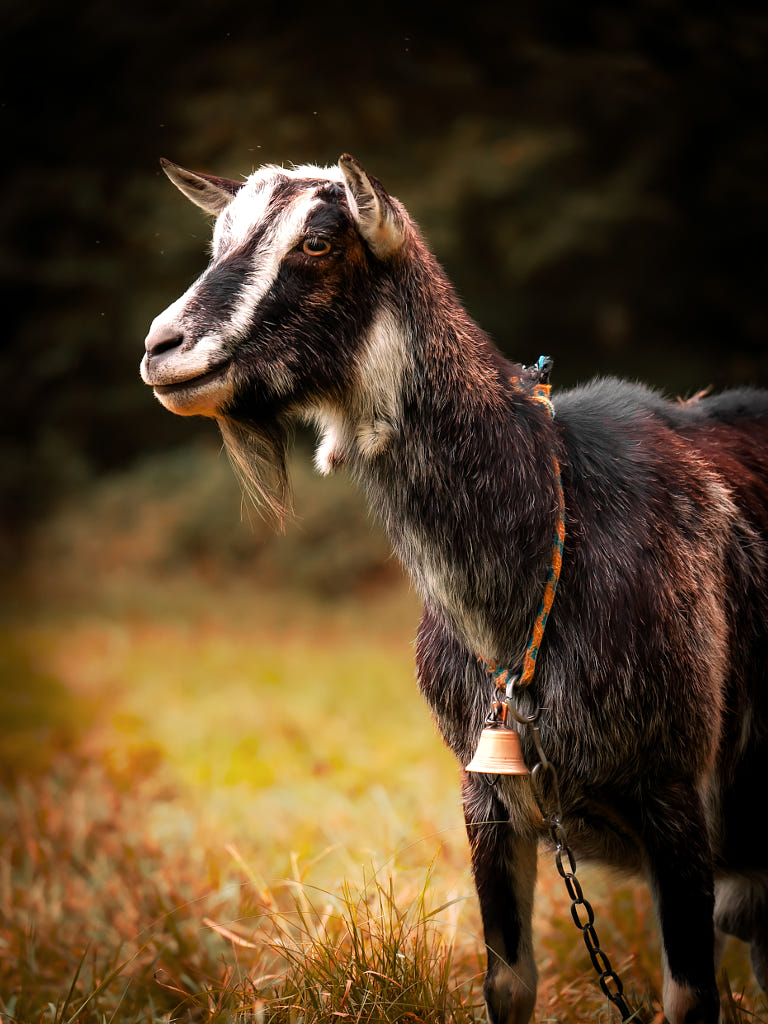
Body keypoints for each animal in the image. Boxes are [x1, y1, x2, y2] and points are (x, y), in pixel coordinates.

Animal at [141, 153, 768, 1024]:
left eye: (318, 241)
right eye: (218, 239)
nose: (163, 348)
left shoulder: (677, 794)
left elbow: (688, 996)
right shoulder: (487, 799)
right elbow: (507, 983)